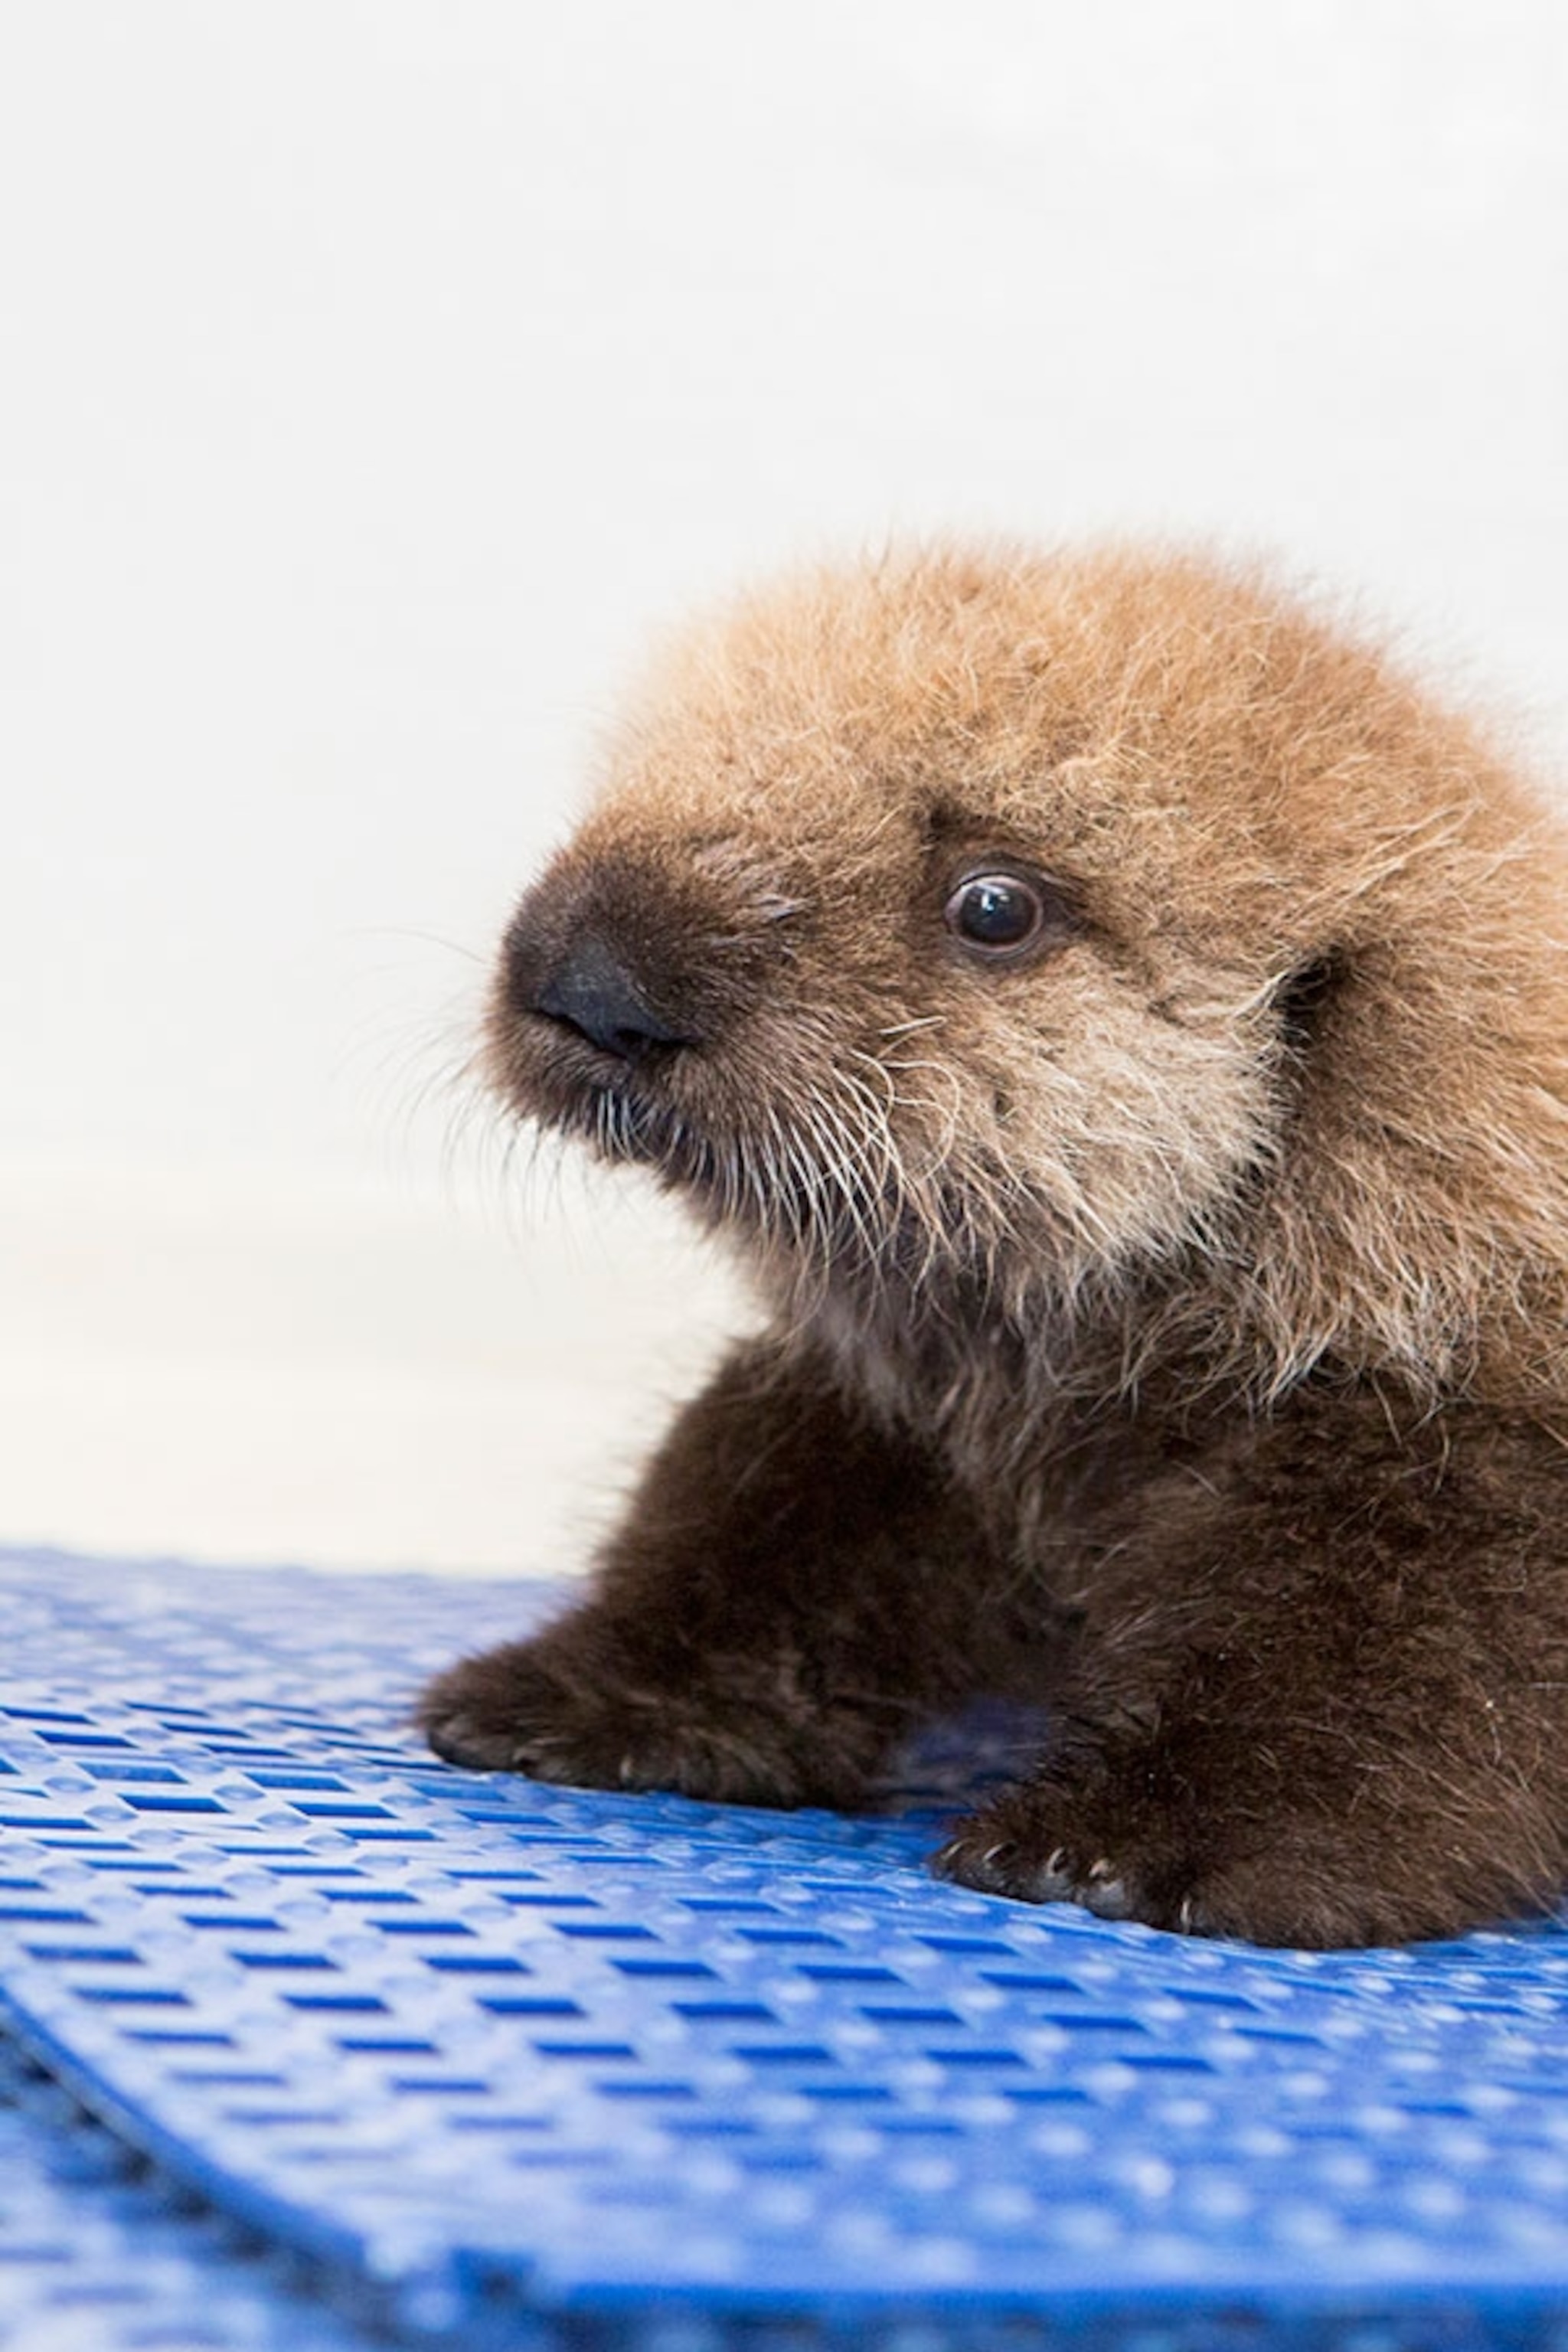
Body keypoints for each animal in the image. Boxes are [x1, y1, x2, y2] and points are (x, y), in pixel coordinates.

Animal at [420, 544, 1568, 1948]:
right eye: (682, 764)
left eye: (994, 905)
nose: (593, 978)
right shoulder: (888, 1413)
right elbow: (752, 1520)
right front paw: (585, 1693)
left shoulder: (1458, 1463)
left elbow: (1389, 1661)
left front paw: (1123, 1836)